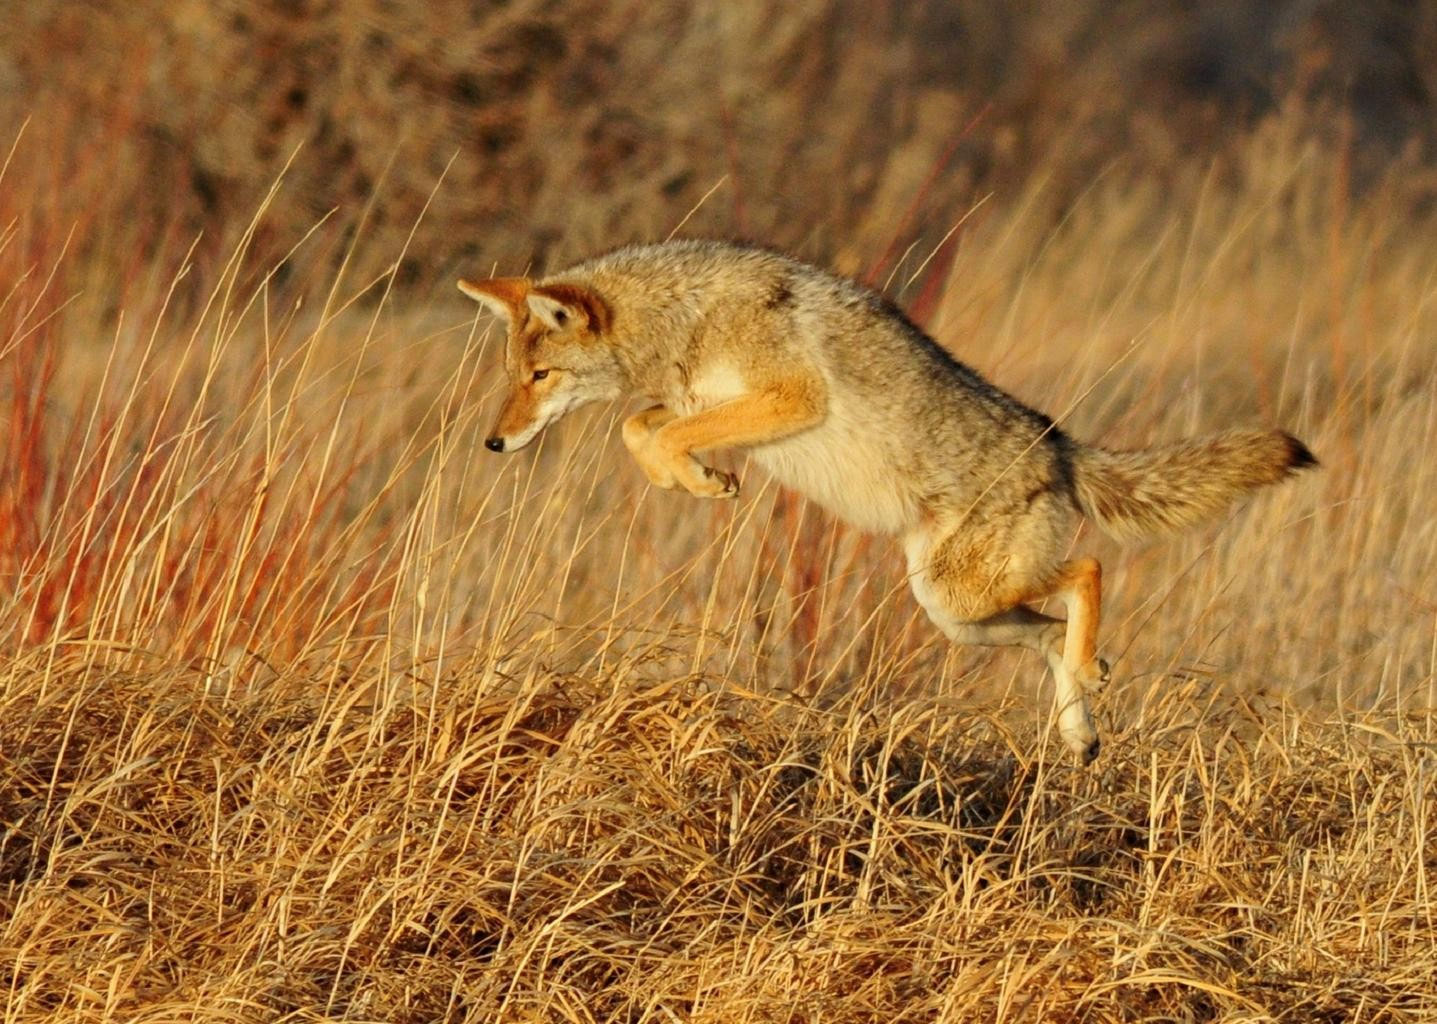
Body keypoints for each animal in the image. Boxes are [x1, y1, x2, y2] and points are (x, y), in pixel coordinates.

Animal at [460, 239, 1315, 761]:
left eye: (538, 377)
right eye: (511, 375)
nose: (493, 445)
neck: (687, 317)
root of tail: (1061, 446)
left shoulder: (789, 397)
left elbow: (652, 429)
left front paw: (698, 476)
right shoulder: (687, 402)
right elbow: (641, 428)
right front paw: (699, 480)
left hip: (963, 593)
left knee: (1088, 572)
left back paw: (1087, 684)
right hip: (954, 610)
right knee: (1052, 631)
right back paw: (1079, 730)